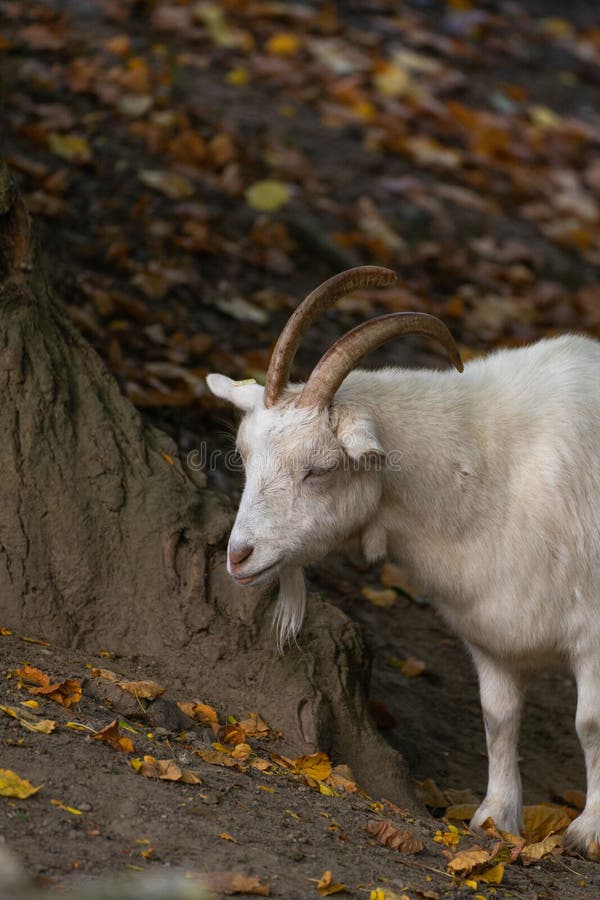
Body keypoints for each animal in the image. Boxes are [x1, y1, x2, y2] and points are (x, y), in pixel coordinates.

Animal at [207, 265, 600, 859]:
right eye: (245, 457)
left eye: (320, 469)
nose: (239, 556)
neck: (494, 470)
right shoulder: (491, 634)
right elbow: (498, 719)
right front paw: (494, 819)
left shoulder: (594, 635)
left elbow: (590, 724)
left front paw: (590, 831)